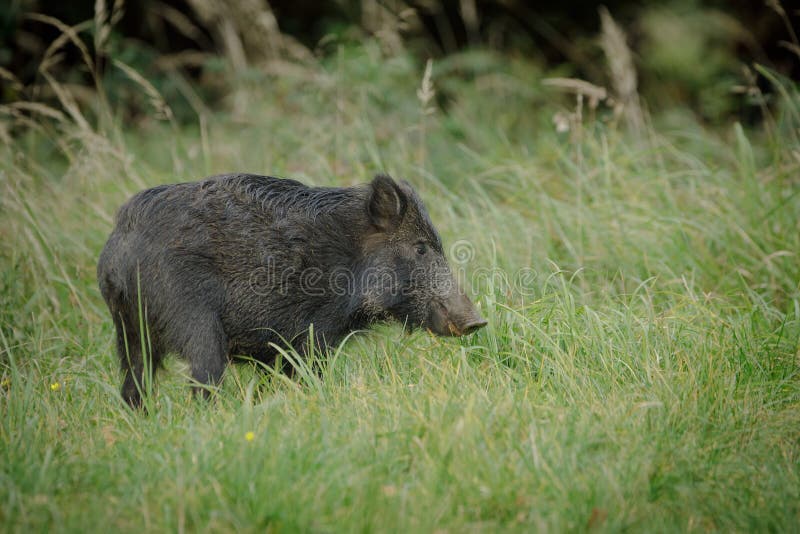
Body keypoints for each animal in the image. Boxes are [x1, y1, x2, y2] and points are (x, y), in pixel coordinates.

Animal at [97, 173, 487, 407]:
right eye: (420, 248)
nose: (477, 322)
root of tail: (118, 250)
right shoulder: (312, 335)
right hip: (194, 323)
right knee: (202, 381)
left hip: (128, 332)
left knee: (133, 383)